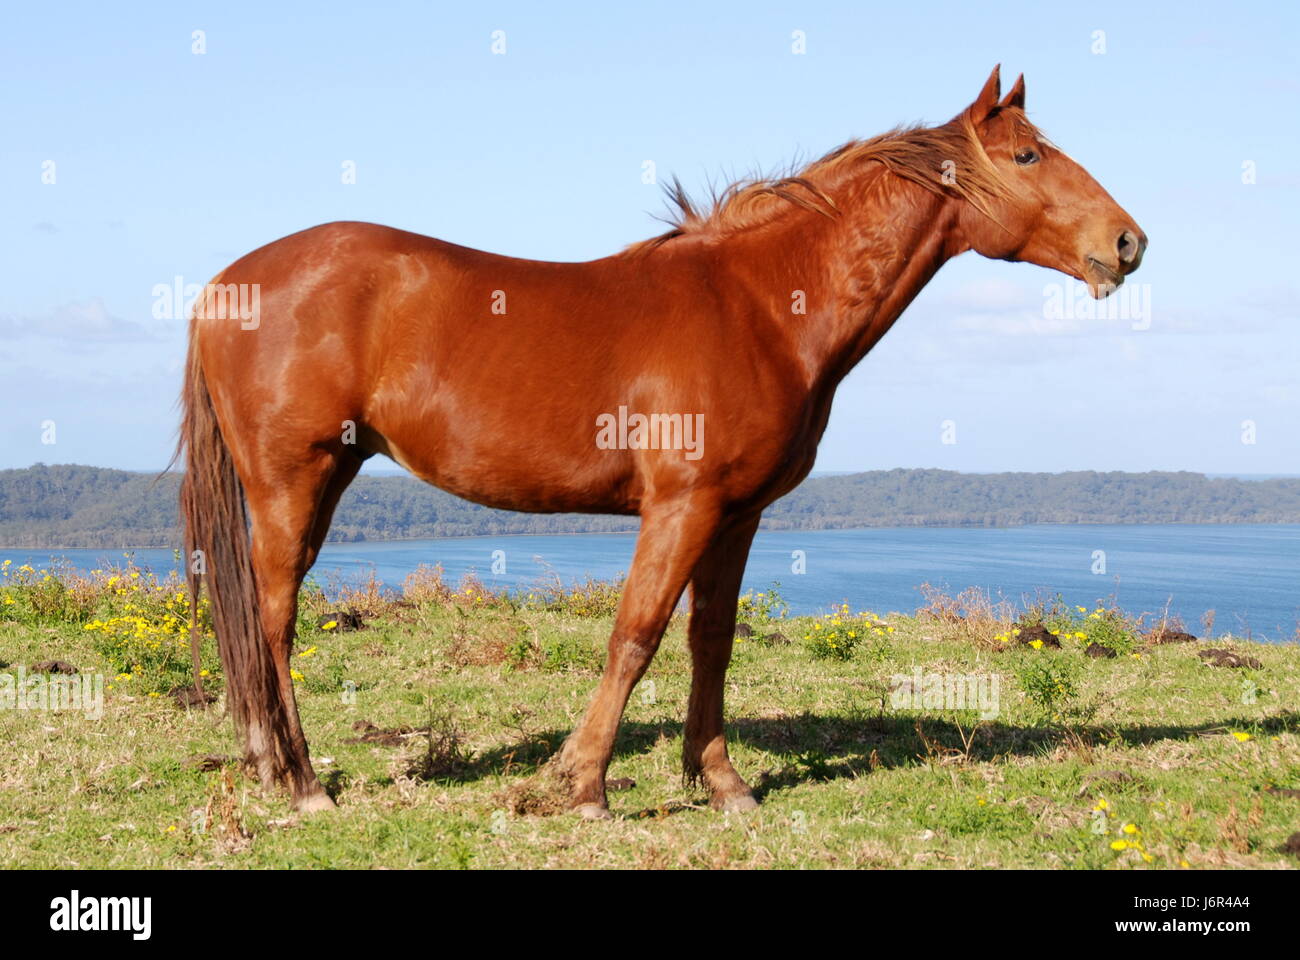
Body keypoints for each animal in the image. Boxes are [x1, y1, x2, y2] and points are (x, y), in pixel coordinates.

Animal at [178, 66, 1146, 818]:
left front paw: (721, 782)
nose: (1128, 241)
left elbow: (709, 639)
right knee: (273, 617)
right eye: (1027, 155)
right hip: (292, 481)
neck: (761, 304)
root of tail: (227, 283)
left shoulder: (737, 514)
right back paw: (303, 783)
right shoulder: (682, 506)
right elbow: (636, 634)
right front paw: (583, 784)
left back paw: (268, 763)